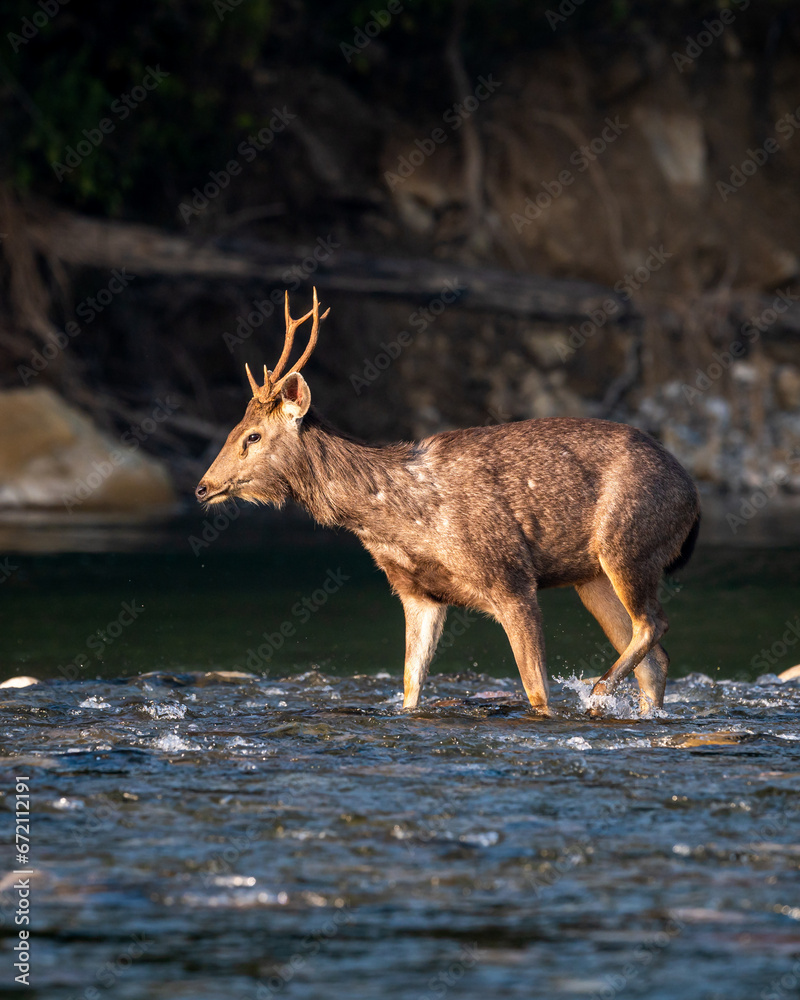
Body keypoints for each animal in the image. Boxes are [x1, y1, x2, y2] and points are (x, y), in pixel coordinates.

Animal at [196, 289, 700, 716]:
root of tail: (693, 496)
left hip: (629, 541)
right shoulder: (418, 594)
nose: (202, 487)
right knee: (655, 660)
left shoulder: (510, 576)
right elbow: (409, 689)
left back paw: (597, 691)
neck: (399, 521)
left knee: (653, 625)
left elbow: (537, 692)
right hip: (590, 575)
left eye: (252, 435)